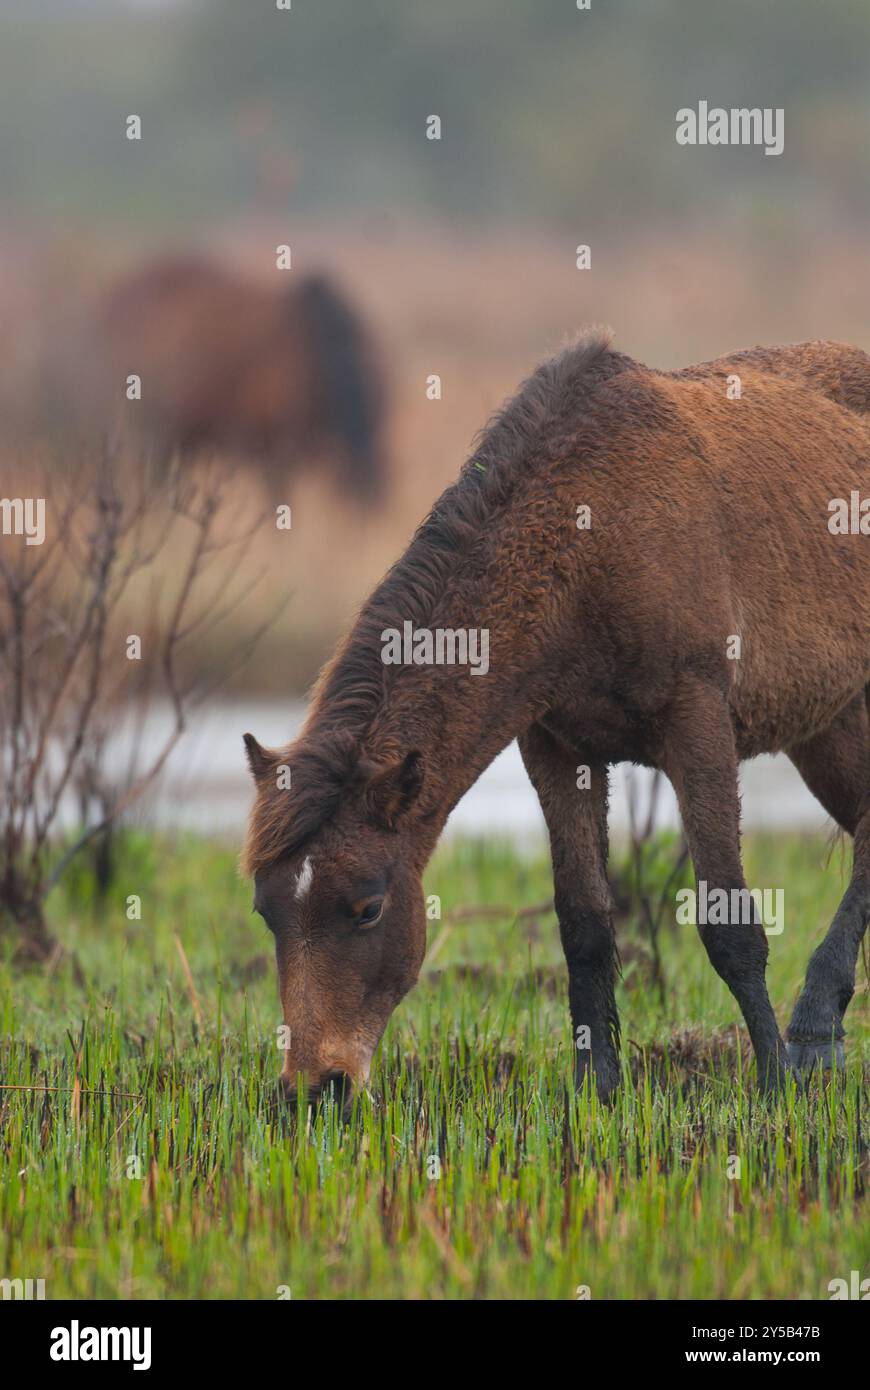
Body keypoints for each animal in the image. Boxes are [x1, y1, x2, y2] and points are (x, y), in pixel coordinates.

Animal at [243, 329, 870, 1105]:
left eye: (368, 907)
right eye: (267, 909)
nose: (315, 1087)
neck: (591, 535)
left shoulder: (698, 723)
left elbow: (728, 921)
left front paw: (776, 1082)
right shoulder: (555, 747)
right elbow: (584, 925)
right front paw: (596, 1088)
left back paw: (811, 1033)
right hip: (829, 727)